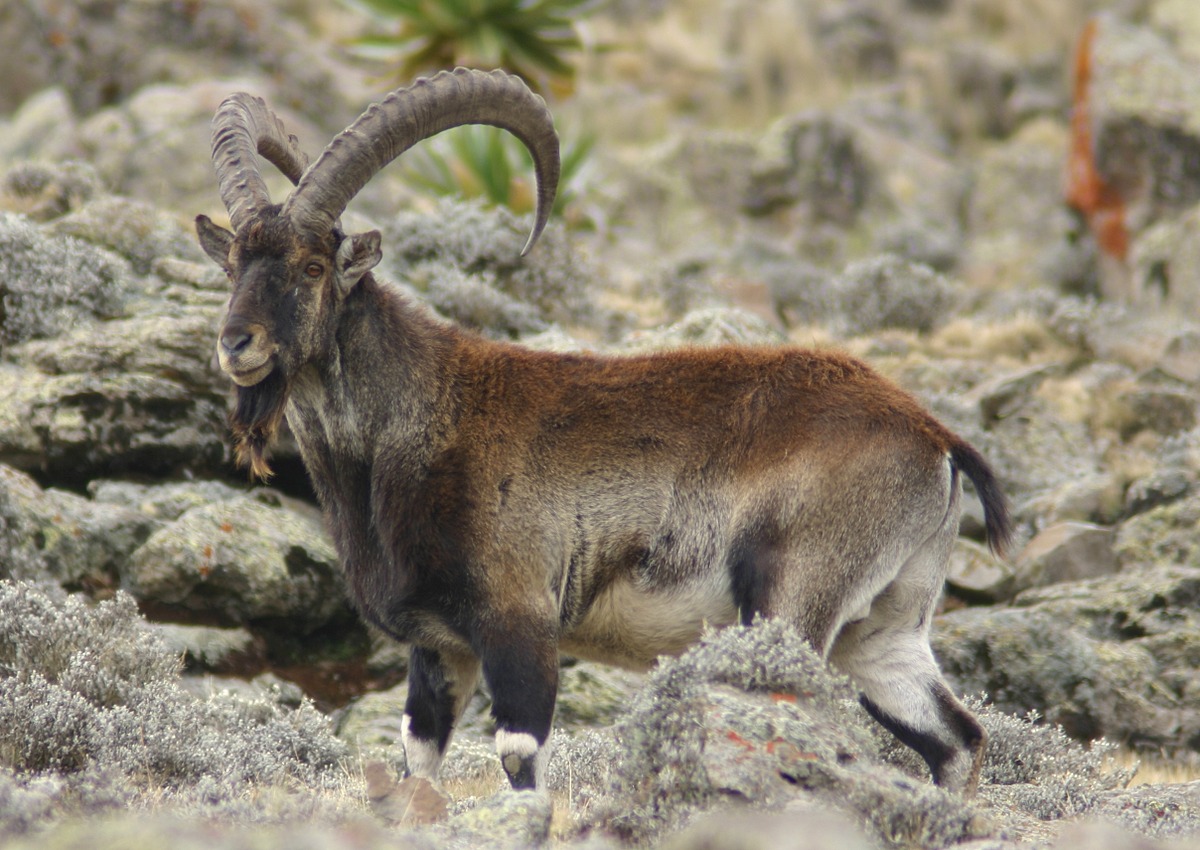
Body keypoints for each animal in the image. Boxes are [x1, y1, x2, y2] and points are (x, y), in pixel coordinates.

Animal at [195, 68, 1011, 796]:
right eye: (233, 263)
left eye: (311, 265)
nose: (237, 344)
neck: (417, 422)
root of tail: (934, 436)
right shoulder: (439, 648)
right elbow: (418, 761)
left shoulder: (519, 622)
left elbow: (520, 757)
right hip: (885, 631)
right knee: (956, 738)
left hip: (792, 599)